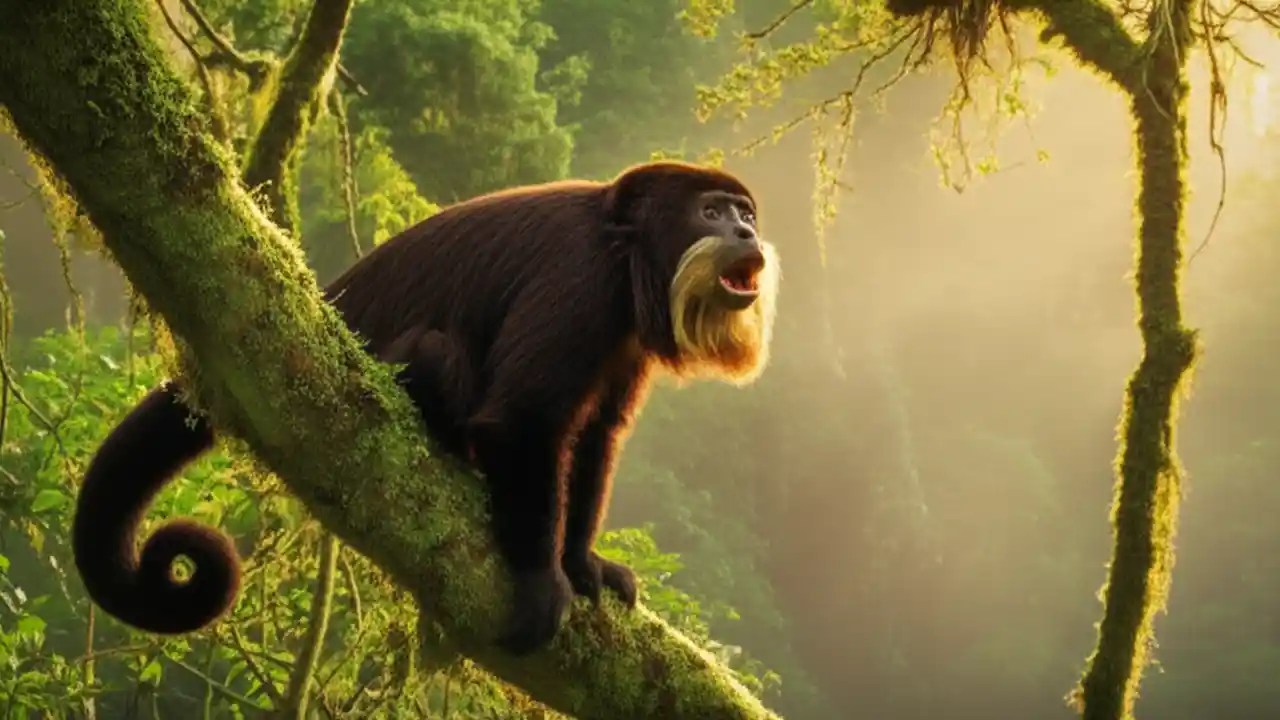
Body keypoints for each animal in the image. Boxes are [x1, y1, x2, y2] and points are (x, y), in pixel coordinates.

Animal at [71, 160, 780, 655]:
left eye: (745, 213)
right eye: (712, 211)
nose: (747, 230)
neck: (625, 253)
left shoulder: (624, 330)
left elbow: (598, 435)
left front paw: (583, 563)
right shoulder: (579, 281)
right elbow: (522, 422)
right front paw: (542, 579)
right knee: (437, 351)